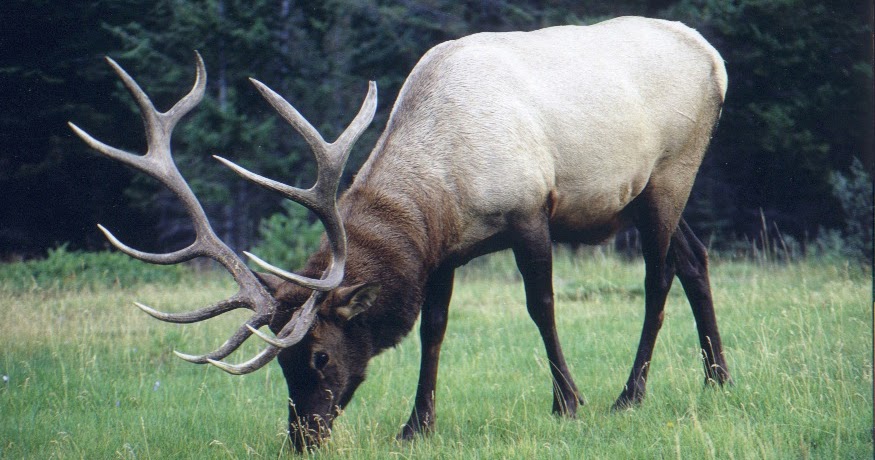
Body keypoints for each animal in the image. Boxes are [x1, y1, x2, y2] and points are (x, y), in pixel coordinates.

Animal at [70, 16, 731, 452]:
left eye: (319, 354)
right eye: (282, 364)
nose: (300, 437)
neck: (444, 190)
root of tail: (716, 60)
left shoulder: (529, 214)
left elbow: (541, 306)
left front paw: (568, 403)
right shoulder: (445, 252)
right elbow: (432, 330)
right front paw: (416, 424)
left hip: (672, 171)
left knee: (658, 276)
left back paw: (630, 393)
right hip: (647, 194)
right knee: (695, 258)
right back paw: (718, 376)